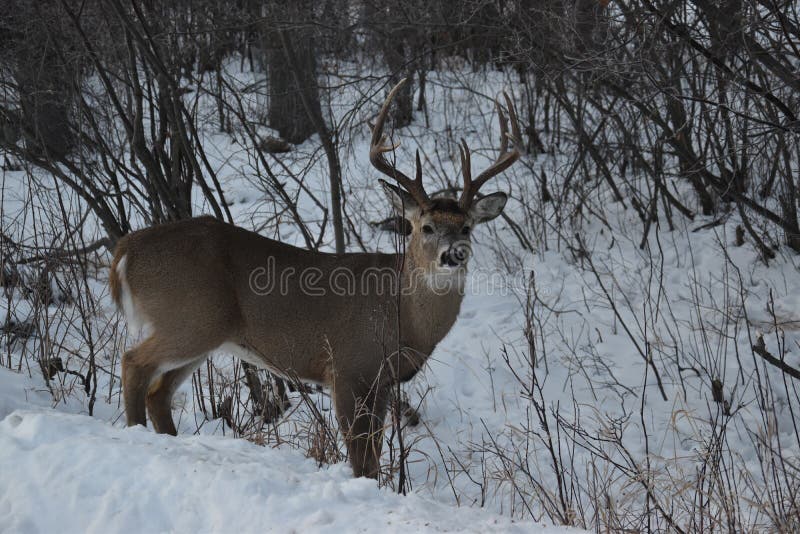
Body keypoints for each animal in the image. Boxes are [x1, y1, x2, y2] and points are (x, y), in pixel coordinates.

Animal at [109, 79, 522, 479]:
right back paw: (135, 433)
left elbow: (373, 451)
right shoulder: (346, 365)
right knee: (133, 363)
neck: (402, 315)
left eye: (467, 227)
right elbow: (361, 457)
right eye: (426, 227)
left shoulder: (382, 381)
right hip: (189, 319)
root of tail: (125, 249)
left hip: (201, 334)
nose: (454, 253)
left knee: (158, 392)